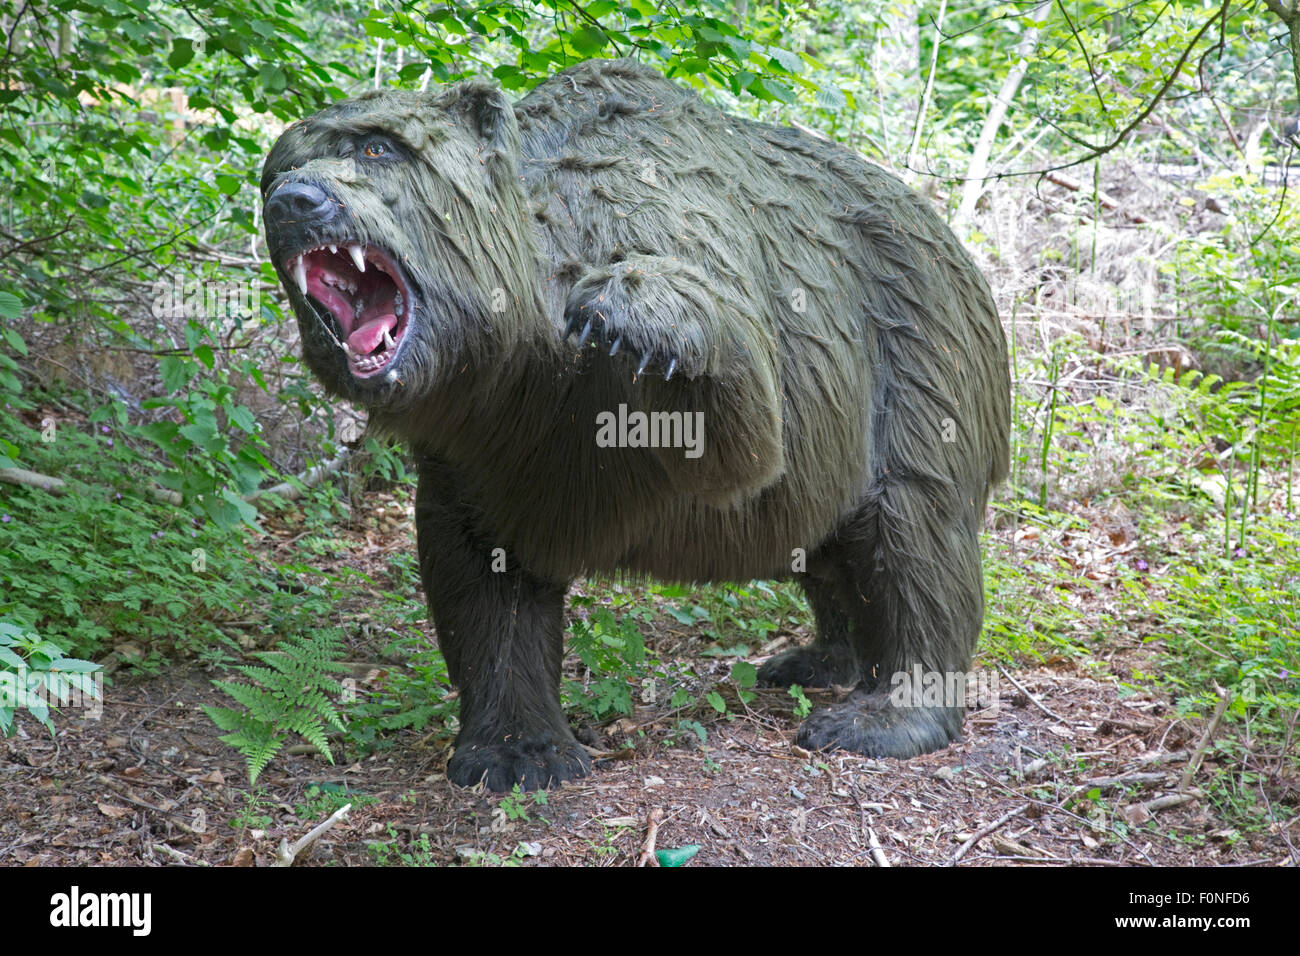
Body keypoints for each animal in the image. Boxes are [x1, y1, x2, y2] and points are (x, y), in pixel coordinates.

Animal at [260, 58, 1010, 792]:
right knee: (827, 543)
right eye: (280, 163)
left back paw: (876, 718)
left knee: (912, 534)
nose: (294, 200)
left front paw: (634, 306)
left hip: (916, 352)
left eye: (376, 146)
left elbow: (744, 439)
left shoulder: (672, 236)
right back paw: (816, 661)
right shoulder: (475, 447)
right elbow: (477, 577)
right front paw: (516, 753)